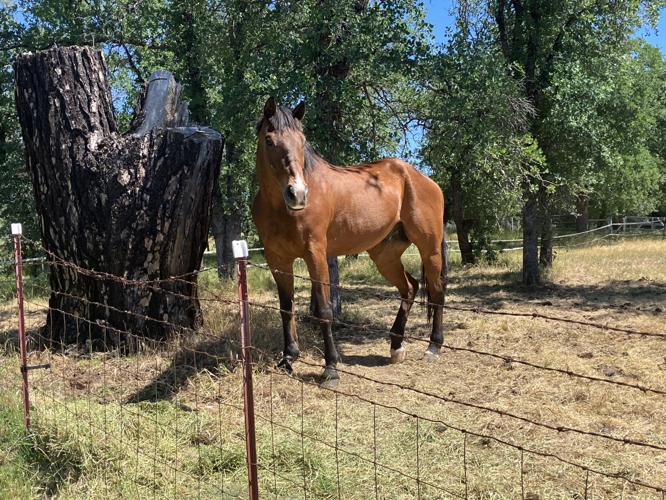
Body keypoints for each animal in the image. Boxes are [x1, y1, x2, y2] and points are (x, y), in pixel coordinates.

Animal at [252, 97, 446, 388]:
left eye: (302, 140)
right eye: (269, 140)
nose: (298, 194)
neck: (280, 209)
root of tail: (422, 178)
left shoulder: (316, 254)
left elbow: (324, 310)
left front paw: (330, 369)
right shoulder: (277, 259)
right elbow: (286, 308)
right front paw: (287, 359)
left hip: (429, 249)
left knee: (437, 290)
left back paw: (434, 347)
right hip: (385, 255)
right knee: (410, 287)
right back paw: (396, 346)